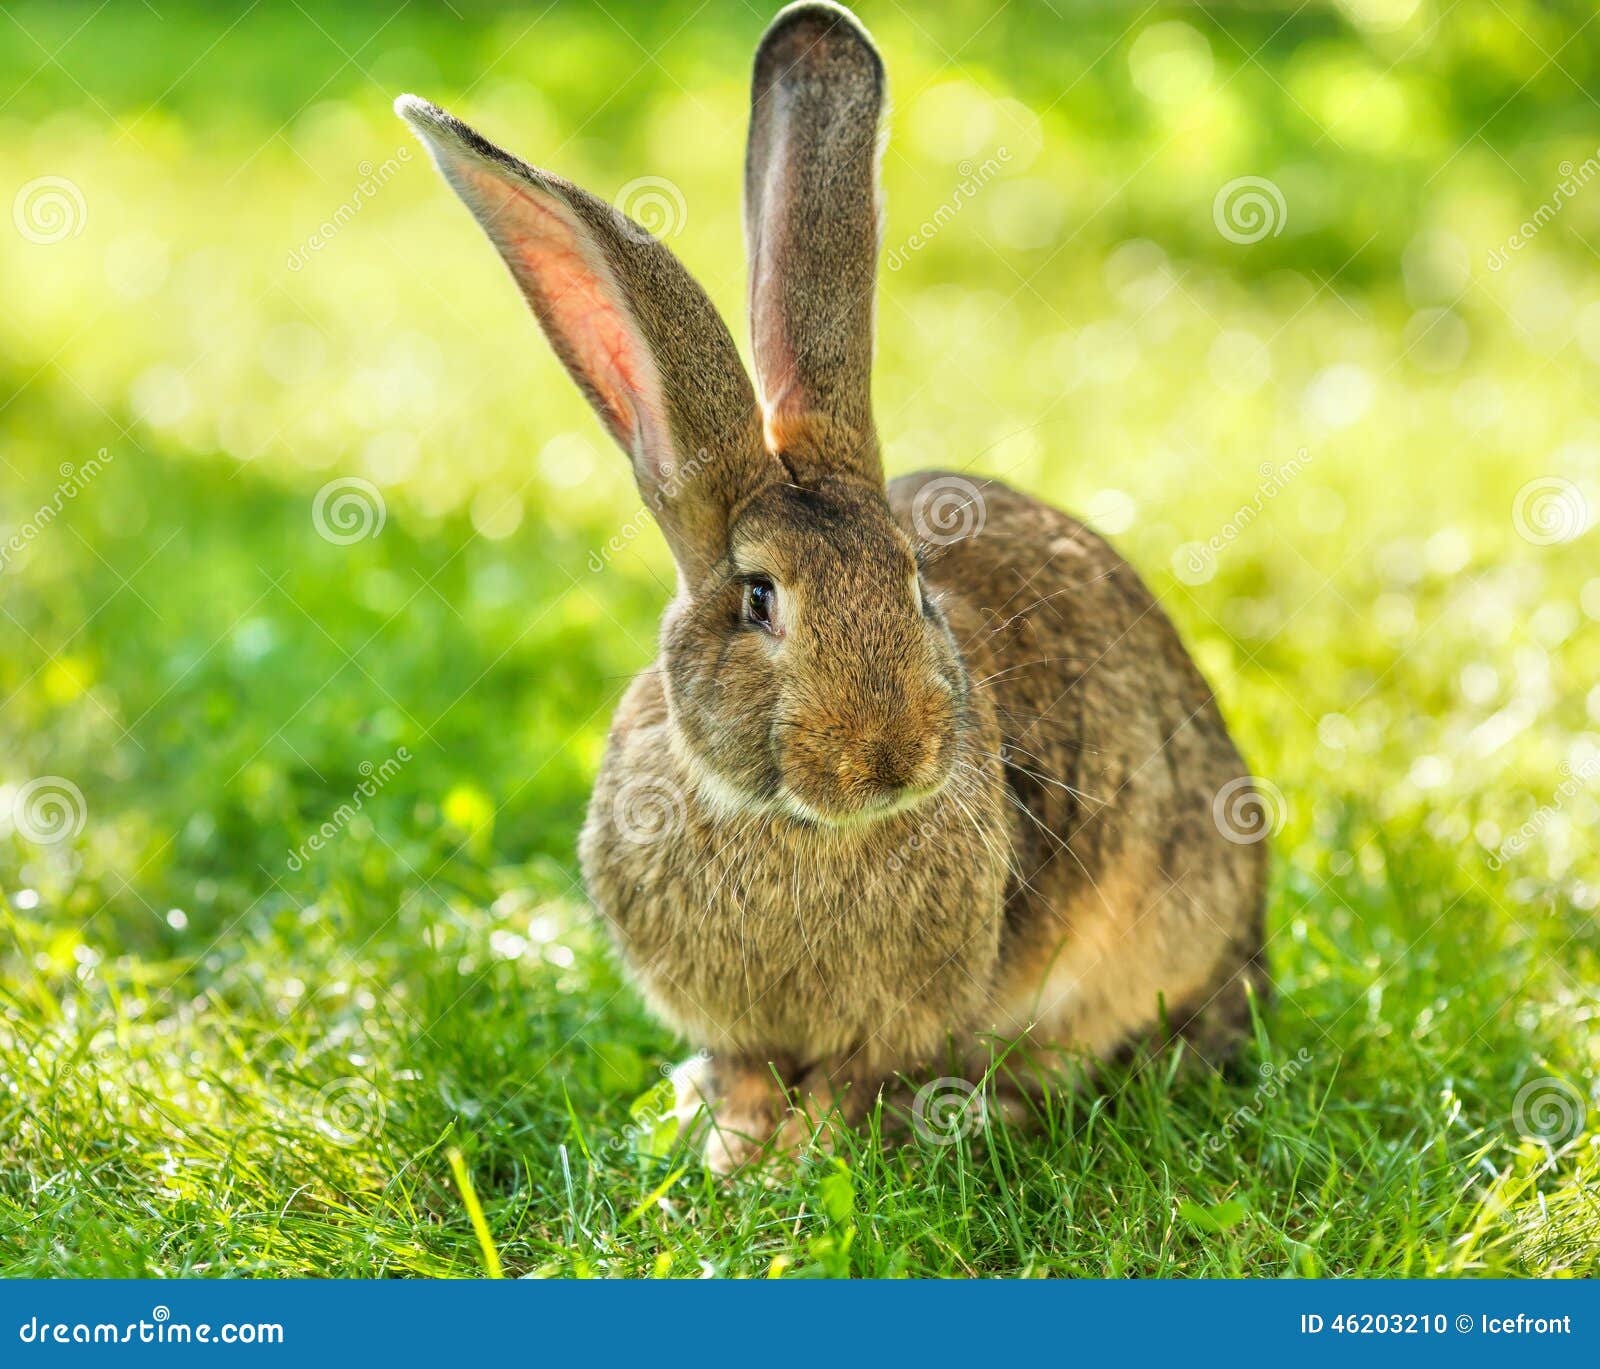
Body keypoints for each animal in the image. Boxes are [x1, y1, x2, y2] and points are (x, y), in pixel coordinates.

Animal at [397, 0, 1267, 1172]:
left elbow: (855, 1081)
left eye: (915, 585)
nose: (888, 757)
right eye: (759, 600)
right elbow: (749, 1065)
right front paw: (729, 1136)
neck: (794, 823)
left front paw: (797, 1152)